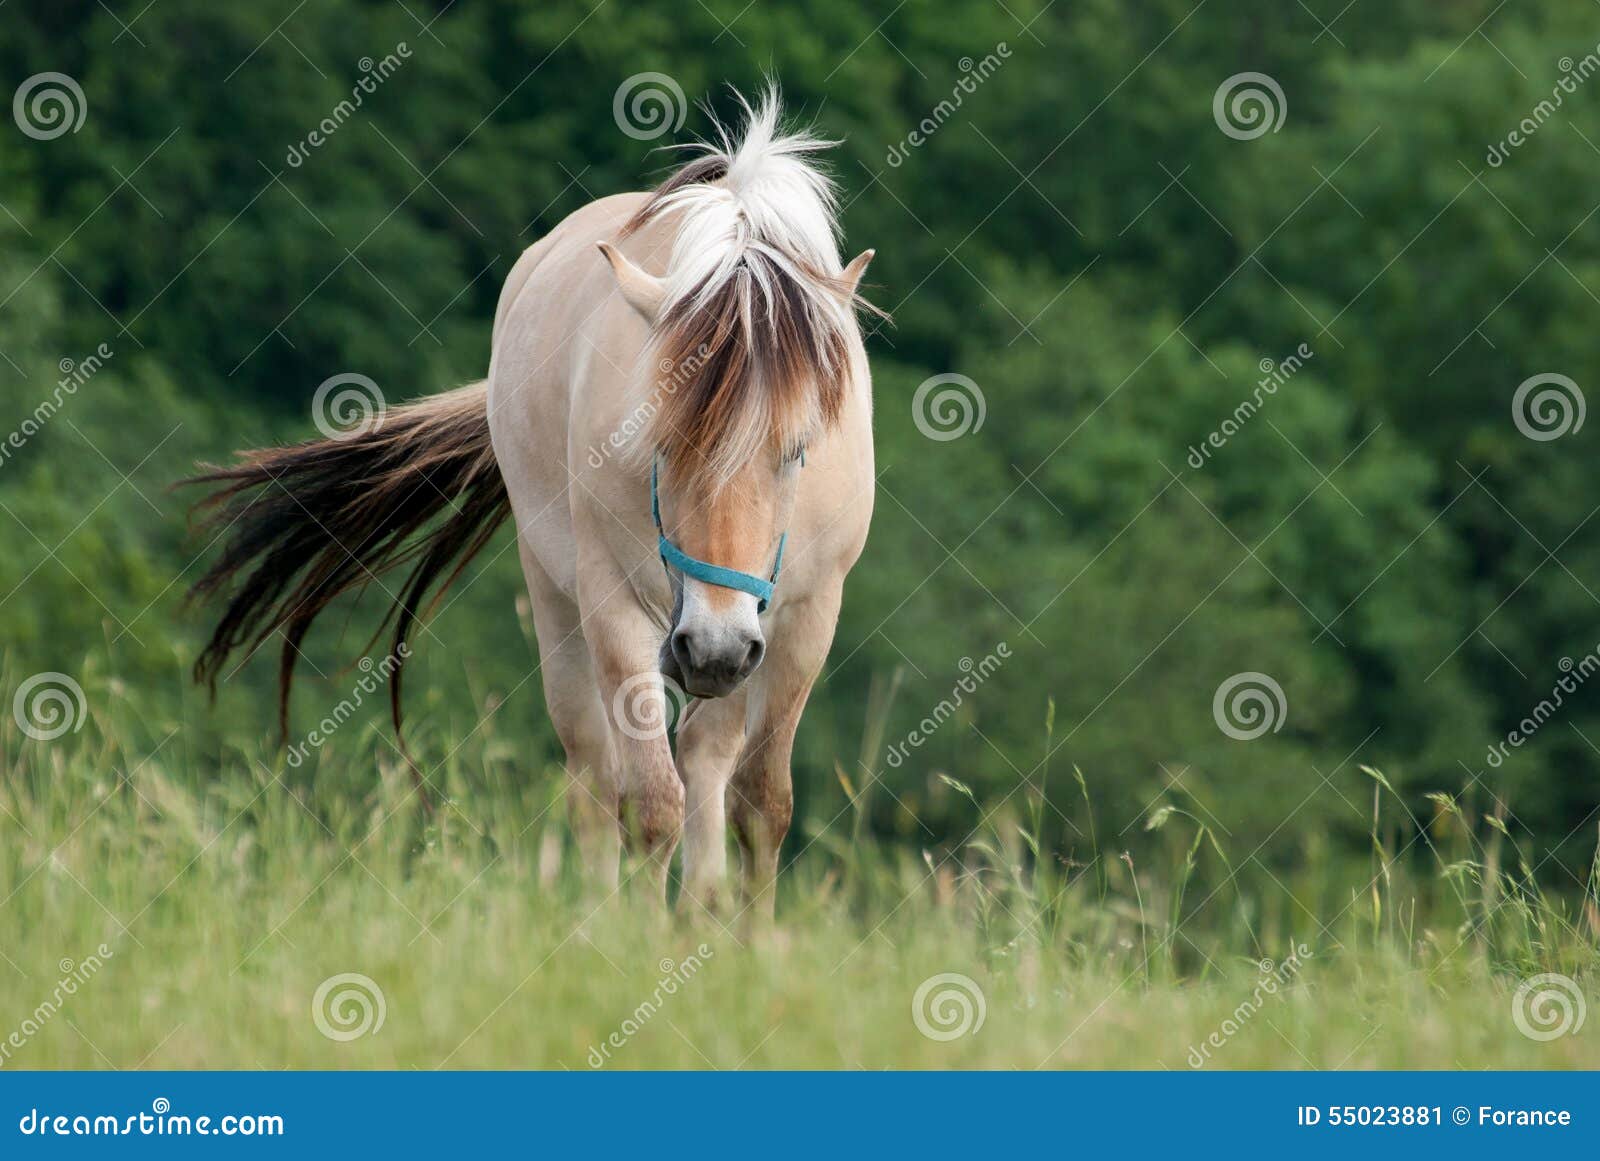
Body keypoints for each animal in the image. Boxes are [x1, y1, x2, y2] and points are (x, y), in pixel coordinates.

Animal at [184, 91, 878, 918]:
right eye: (661, 441)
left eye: (799, 449)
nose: (713, 646)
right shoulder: (616, 604)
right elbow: (650, 801)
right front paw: (636, 939)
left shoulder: (807, 615)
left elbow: (760, 803)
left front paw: (748, 941)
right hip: (563, 602)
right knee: (598, 778)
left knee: (705, 760)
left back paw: (700, 910)